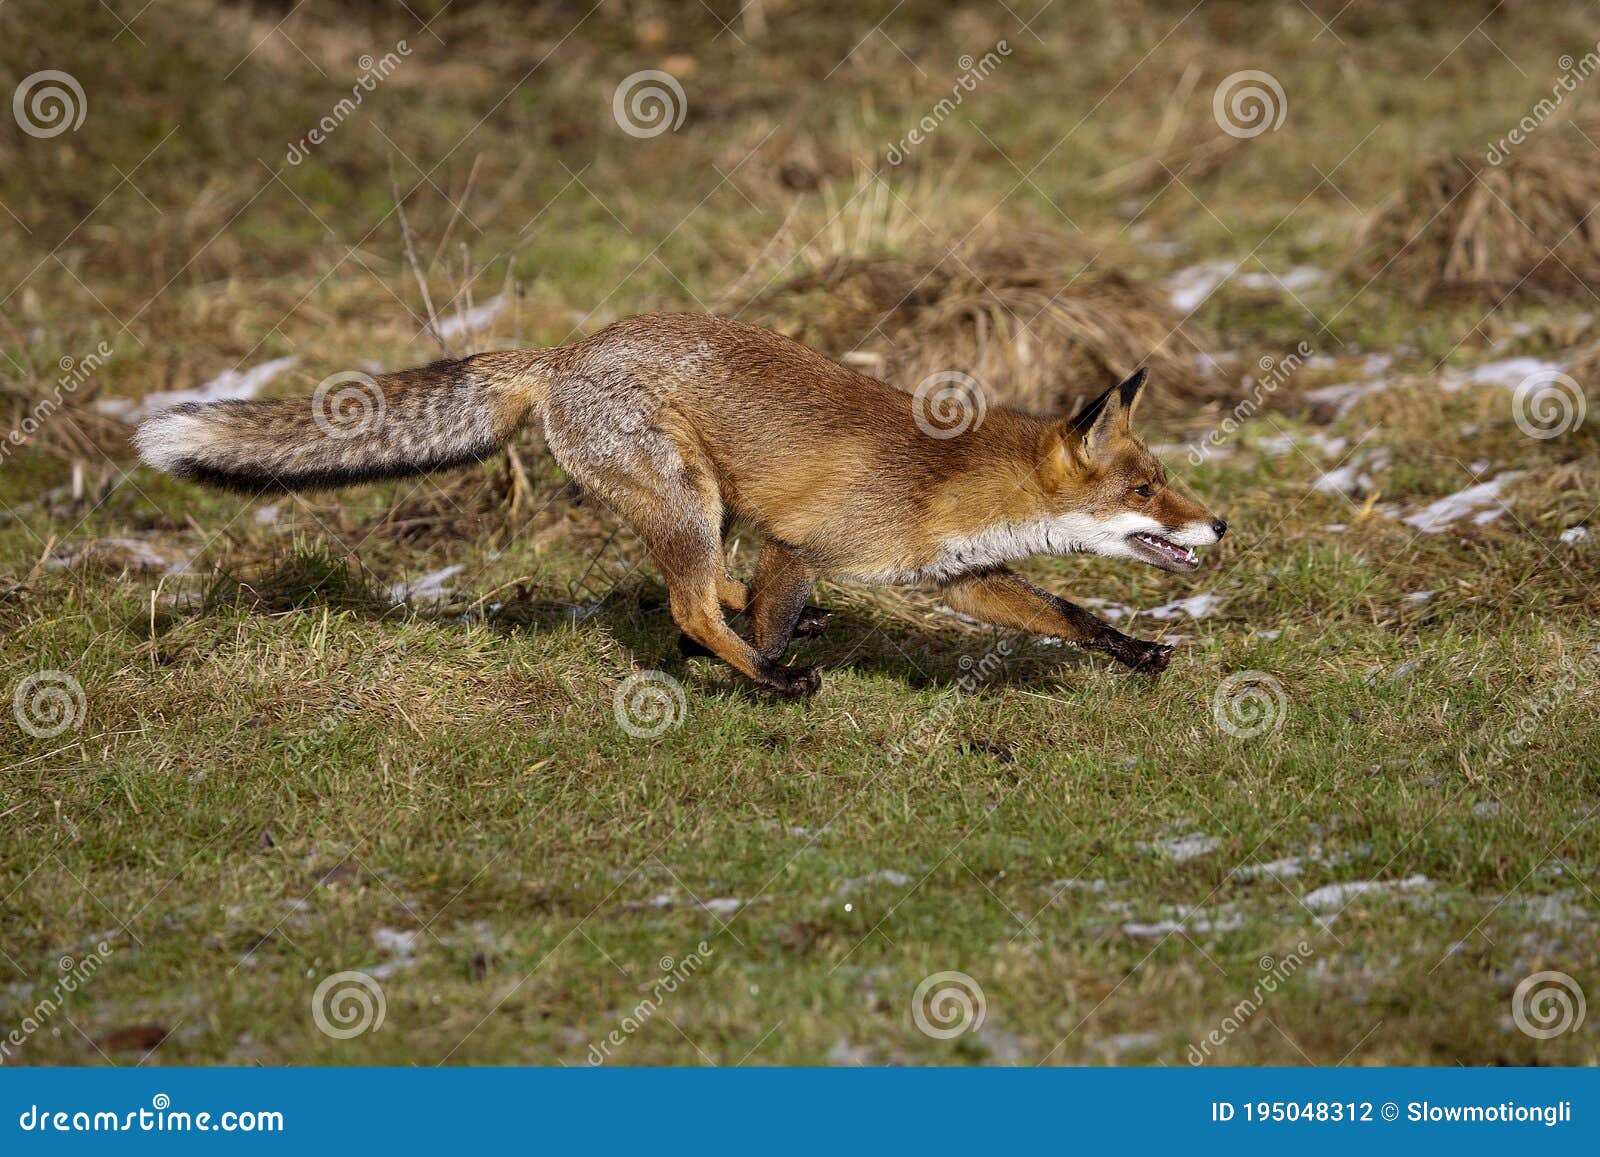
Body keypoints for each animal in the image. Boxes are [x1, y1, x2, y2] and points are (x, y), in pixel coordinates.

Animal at [134, 313, 1226, 697]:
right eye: (1143, 489)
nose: (1219, 524)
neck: (945, 480)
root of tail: (564, 352)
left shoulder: (960, 576)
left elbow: (1071, 614)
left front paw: (1137, 651)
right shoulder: (801, 542)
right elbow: (762, 614)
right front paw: (762, 672)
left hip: (709, 509)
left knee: (709, 594)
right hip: (689, 501)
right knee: (692, 604)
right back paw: (763, 675)